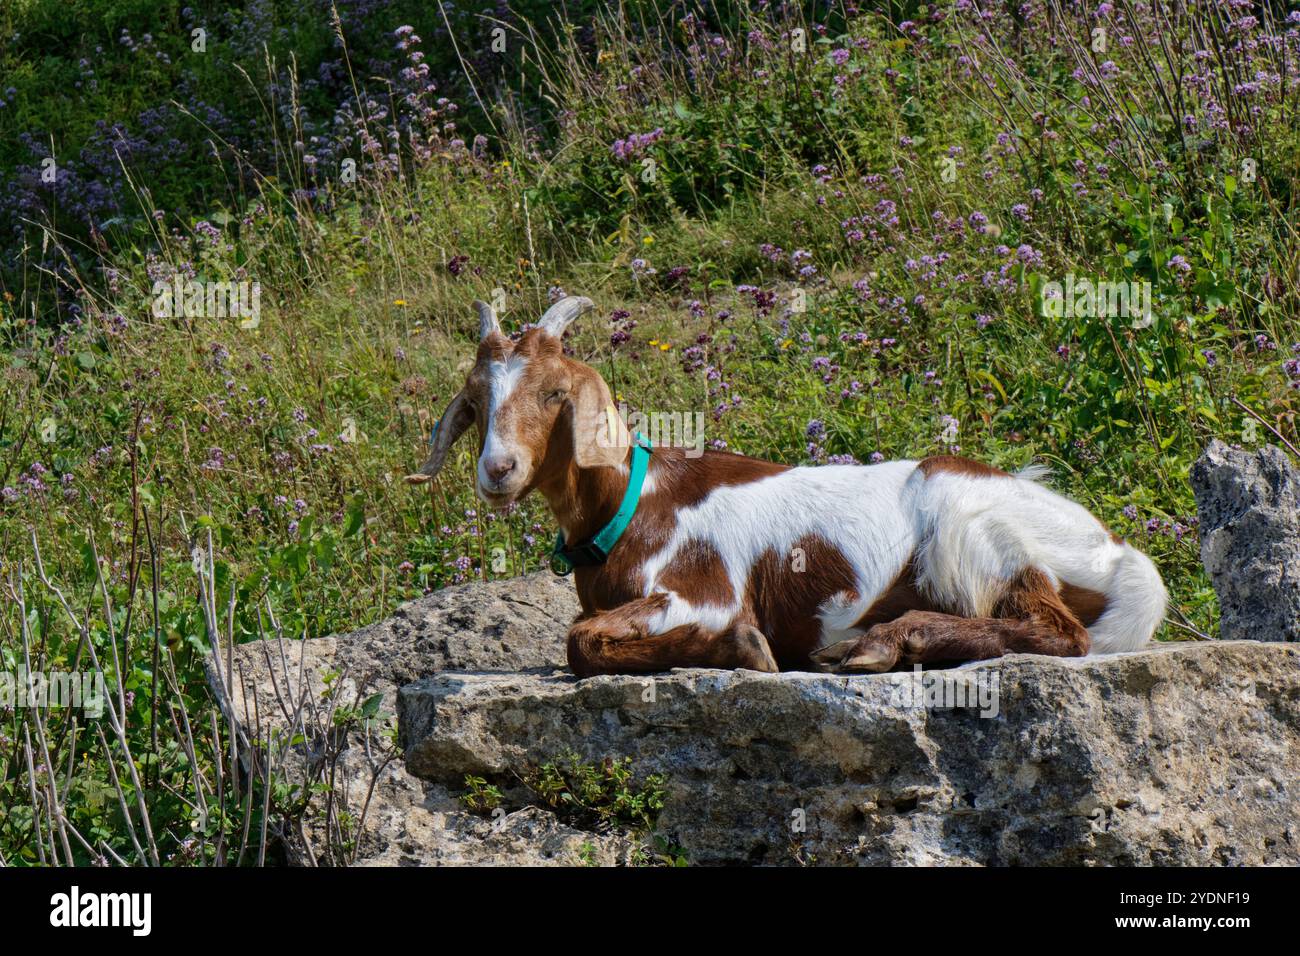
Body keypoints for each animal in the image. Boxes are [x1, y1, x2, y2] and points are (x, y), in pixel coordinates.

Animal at [407, 296, 1169, 678]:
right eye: (476, 401)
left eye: (555, 392)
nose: (498, 470)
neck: (633, 503)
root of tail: (1117, 552)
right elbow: (581, 636)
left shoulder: (702, 590)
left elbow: (582, 641)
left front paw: (743, 649)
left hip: (973, 527)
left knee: (1059, 633)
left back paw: (886, 641)